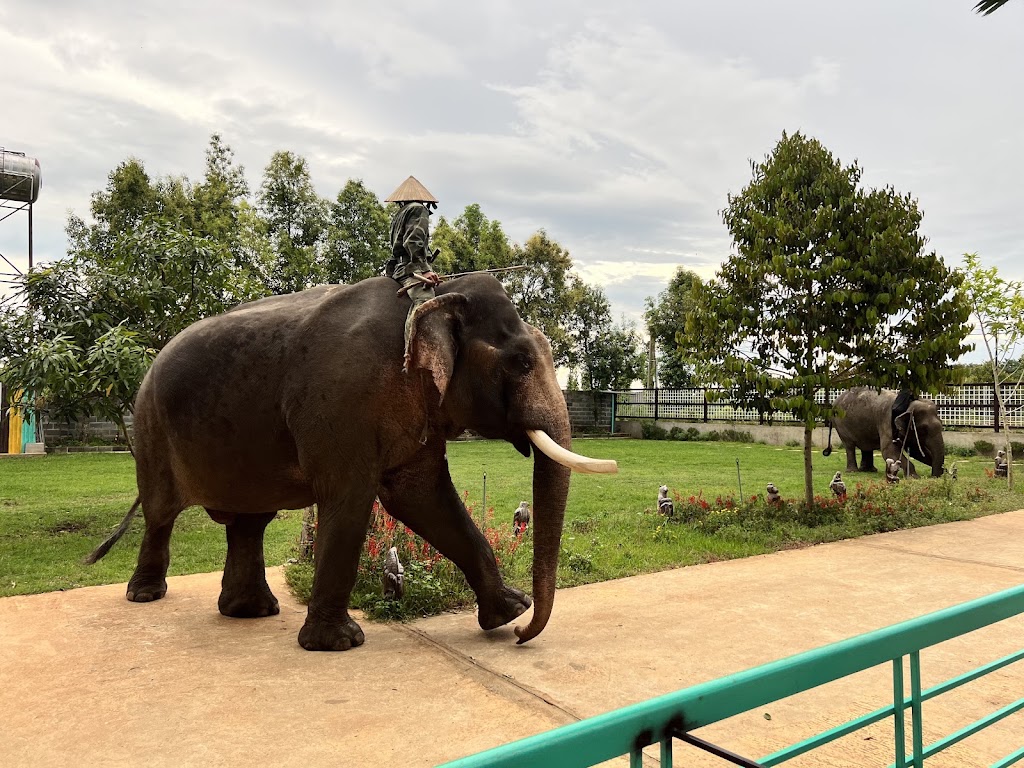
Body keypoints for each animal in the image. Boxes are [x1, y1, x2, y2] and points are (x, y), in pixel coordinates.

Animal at [86, 274, 615, 651]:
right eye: (521, 362)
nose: (525, 636)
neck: (432, 295)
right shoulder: (344, 400)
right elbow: (353, 499)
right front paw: (337, 645)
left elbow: (422, 497)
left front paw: (506, 615)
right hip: (151, 427)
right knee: (162, 513)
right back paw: (147, 596)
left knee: (249, 523)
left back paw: (251, 611)